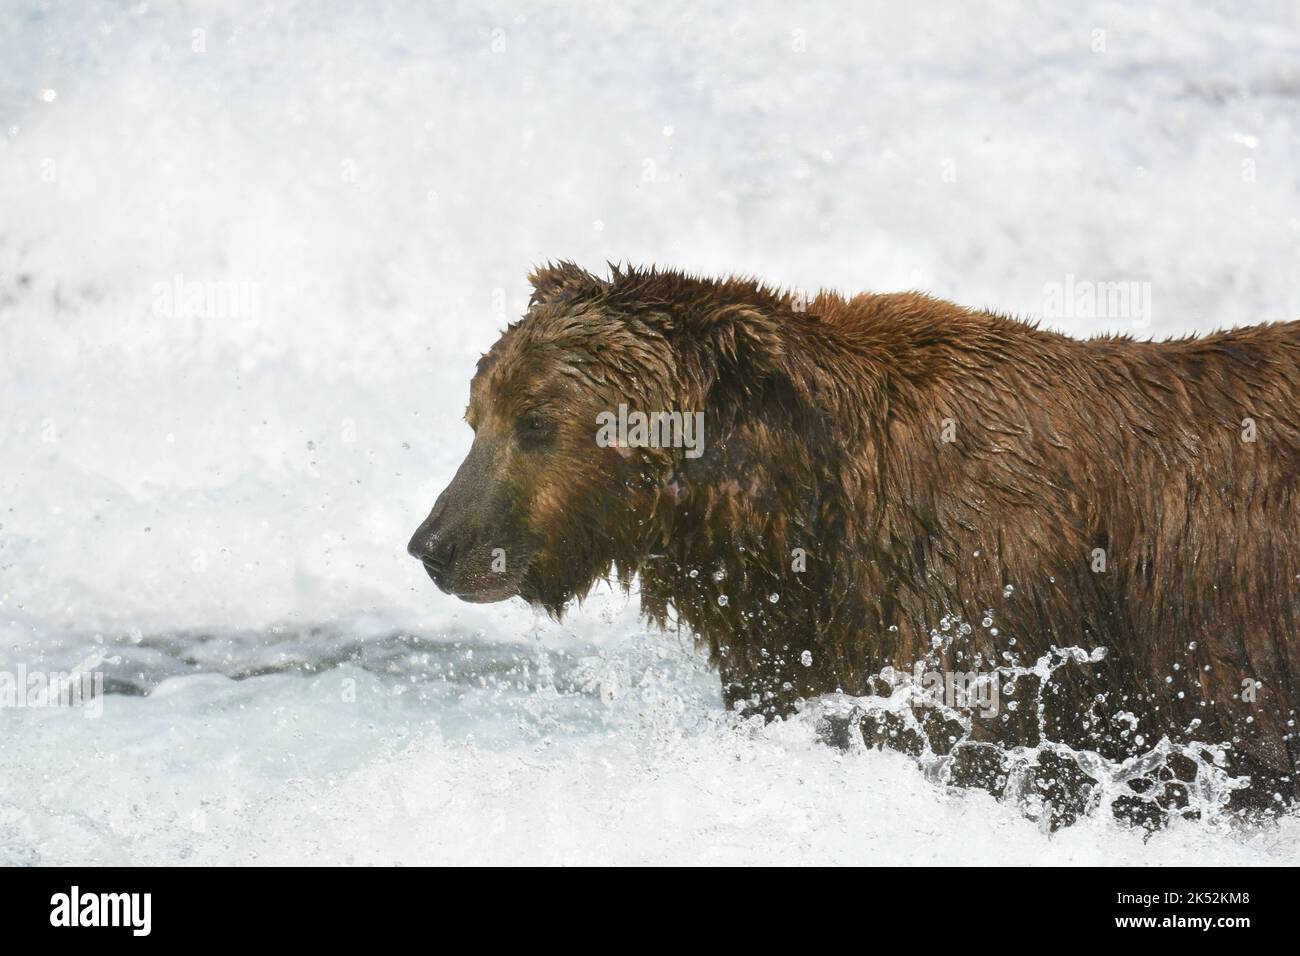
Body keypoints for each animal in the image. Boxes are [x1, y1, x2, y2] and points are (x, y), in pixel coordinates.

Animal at [409, 261, 1300, 822]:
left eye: (537, 423)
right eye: (476, 416)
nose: (434, 544)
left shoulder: (990, 600)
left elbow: (976, 745)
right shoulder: (801, 639)